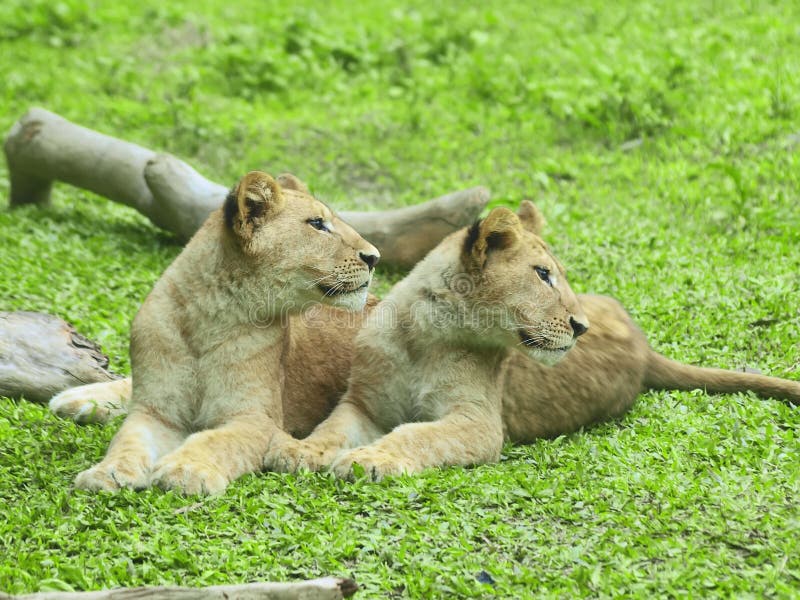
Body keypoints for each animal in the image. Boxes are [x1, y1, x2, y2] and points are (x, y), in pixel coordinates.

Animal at [68, 170, 380, 494]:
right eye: (317, 224)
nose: (374, 258)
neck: (207, 319)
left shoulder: (256, 421)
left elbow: (212, 441)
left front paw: (185, 470)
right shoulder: (155, 412)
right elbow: (128, 439)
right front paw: (107, 472)